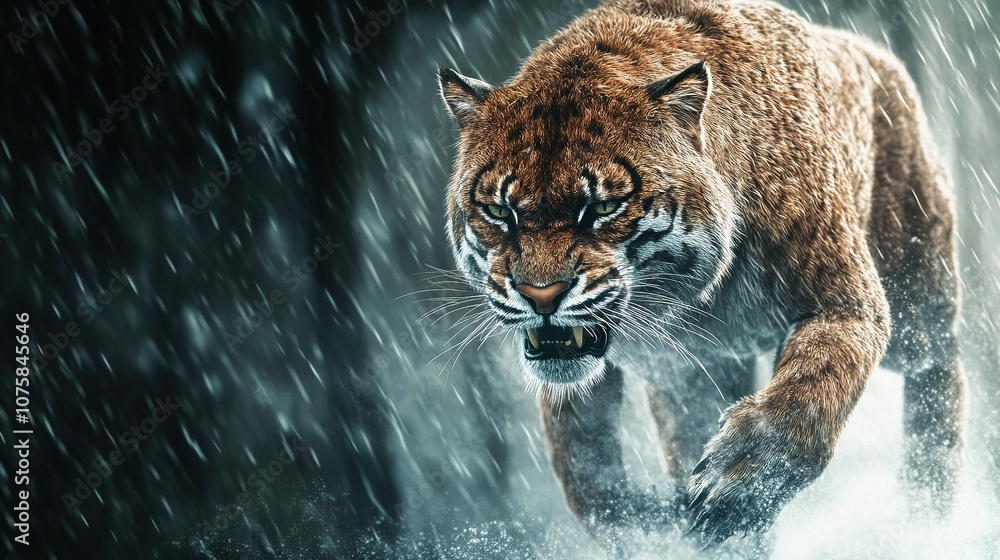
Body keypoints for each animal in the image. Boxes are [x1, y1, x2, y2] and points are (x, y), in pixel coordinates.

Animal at [437, 0, 964, 550]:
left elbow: (810, 395)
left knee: (940, 371)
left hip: (917, 304)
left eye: (601, 207)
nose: (541, 295)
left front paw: (737, 481)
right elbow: (585, 469)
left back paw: (931, 508)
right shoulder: (681, 375)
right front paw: (653, 526)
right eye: (500, 211)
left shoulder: (843, 304)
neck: (708, 302)